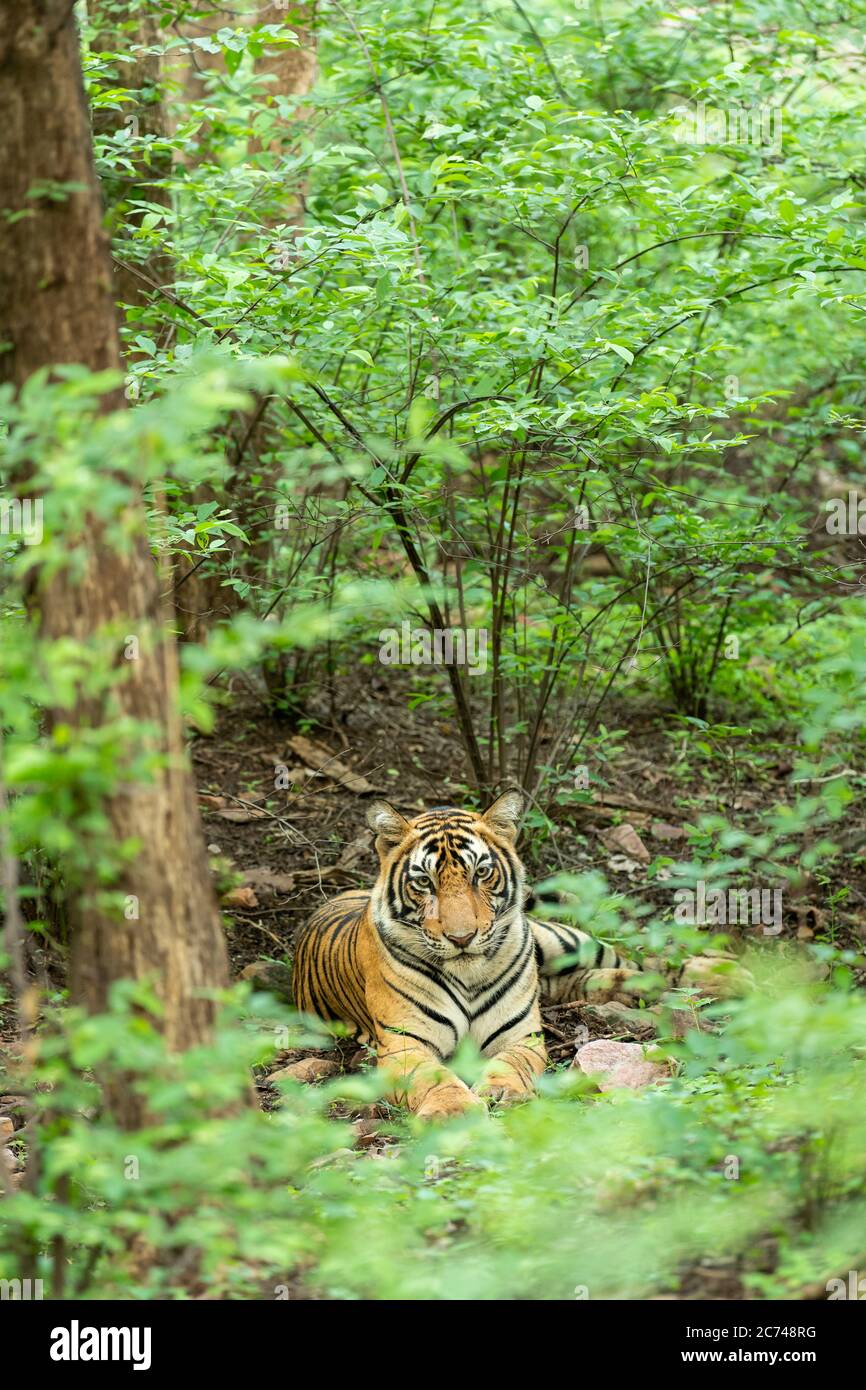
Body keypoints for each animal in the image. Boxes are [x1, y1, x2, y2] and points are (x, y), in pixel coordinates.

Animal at [292, 791, 642, 1119]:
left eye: (481, 873)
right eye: (424, 881)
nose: (462, 937)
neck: (468, 976)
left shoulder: (520, 1035)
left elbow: (511, 1064)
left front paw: (505, 1092)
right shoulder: (404, 1042)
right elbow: (429, 1076)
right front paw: (453, 1109)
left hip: (560, 941)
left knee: (622, 960)